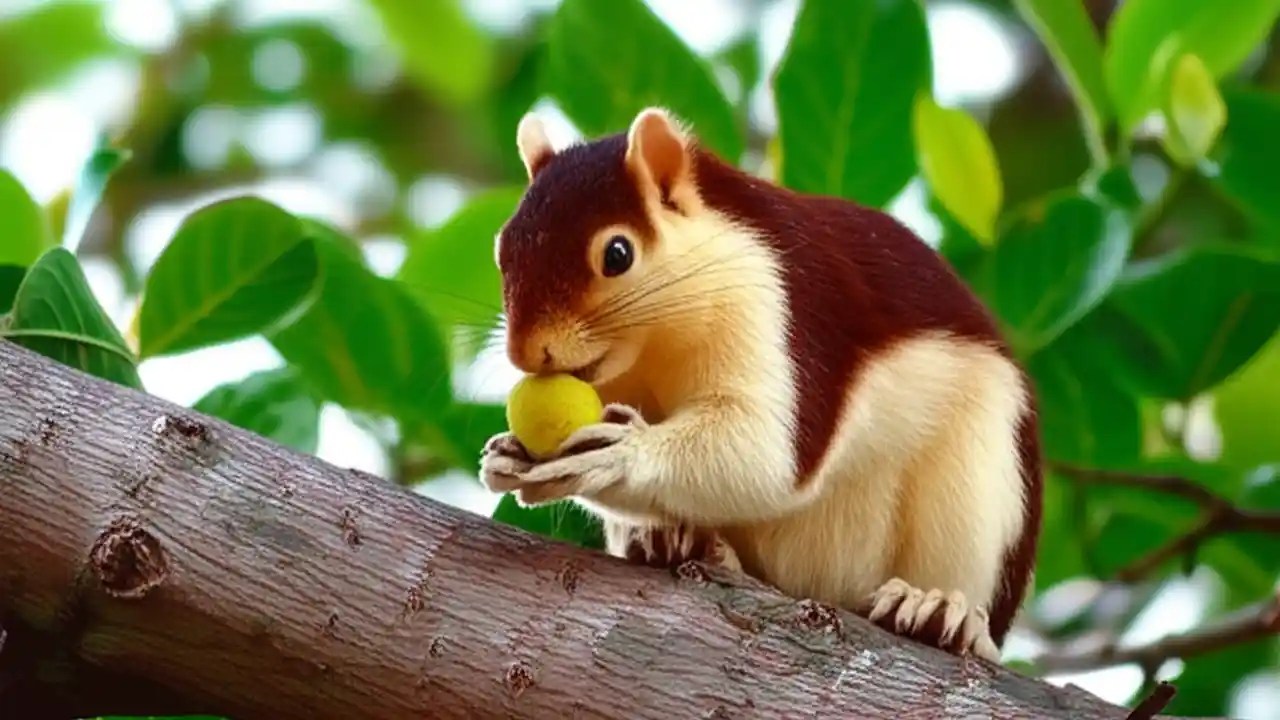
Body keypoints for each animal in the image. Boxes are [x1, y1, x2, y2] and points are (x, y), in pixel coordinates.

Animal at [480, 106, 1043, 662]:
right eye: (501, 250)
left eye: (617, 254)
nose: (525, 353)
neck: (655, 341)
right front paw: (510, 454)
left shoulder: (777, 305)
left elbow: (768, 453)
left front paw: (616, 453)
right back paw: (676, 542)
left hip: (976, 482)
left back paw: (939, 611)